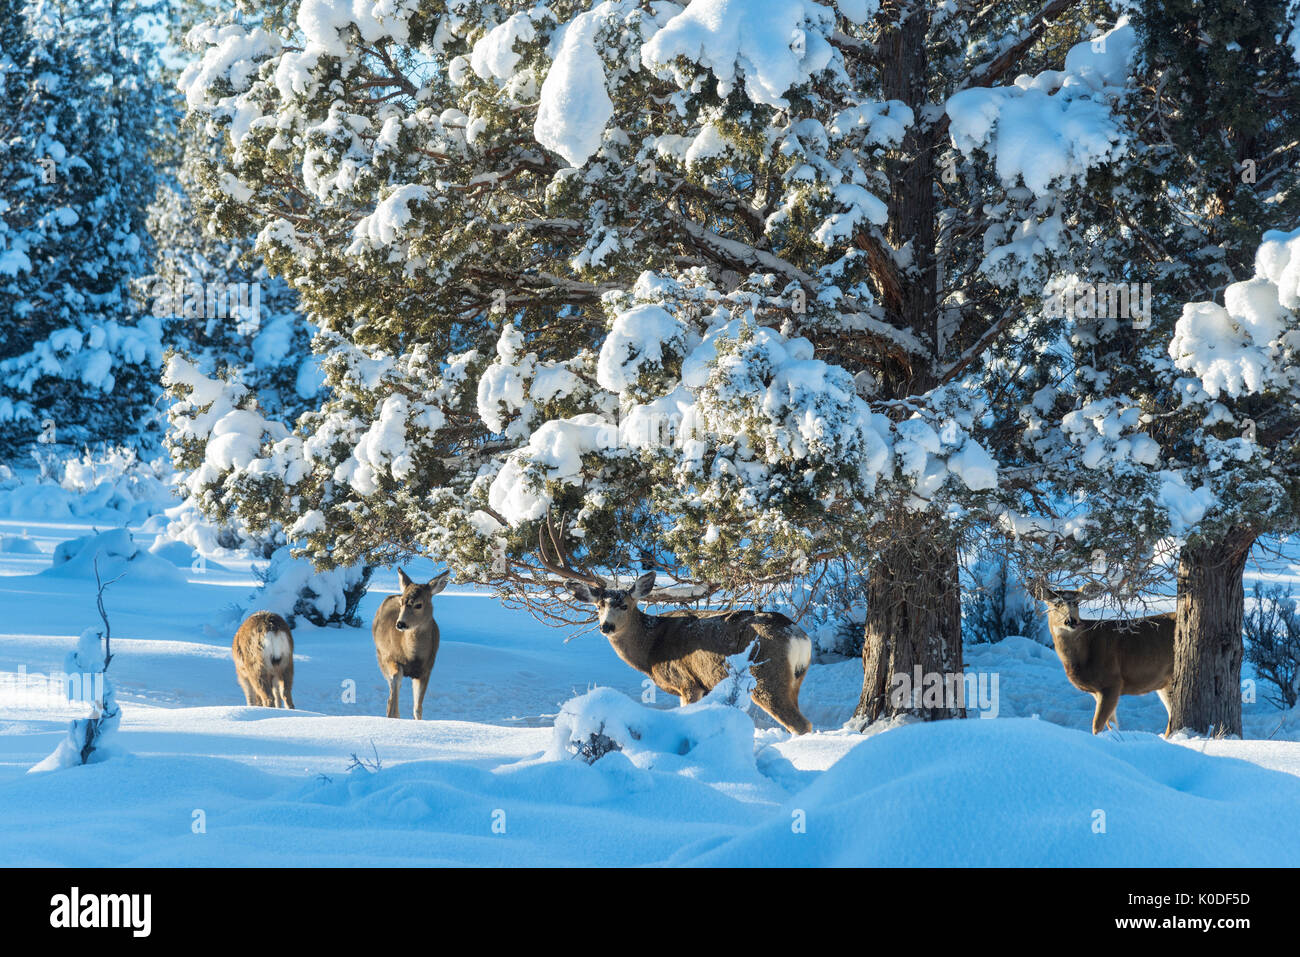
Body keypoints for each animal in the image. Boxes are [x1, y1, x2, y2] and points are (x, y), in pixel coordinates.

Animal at [372, 568, 450, 719]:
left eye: (418, 605)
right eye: (402, 602)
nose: (400, 624)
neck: (412, 656)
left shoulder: (426, 670)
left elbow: (418, 708)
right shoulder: (390, 657)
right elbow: (396, 683)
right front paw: (393, 715)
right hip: (380, 656)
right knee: (392, 690)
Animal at [538, 520, 814, 734]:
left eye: (625, 605)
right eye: (598, 606)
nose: (606, 626)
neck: (651, 648)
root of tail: (798, 635)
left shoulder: (687, 682)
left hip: (766, 677)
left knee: (800, 725)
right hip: (794, 681)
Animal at [1035, 586, 1175, 736]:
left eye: (1076, 602)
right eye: (1056, 604)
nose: (1071, 621)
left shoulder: (1112, 681)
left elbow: (1097, 725)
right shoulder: (1097, 690)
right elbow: (1111, 724)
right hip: (1164, 683)